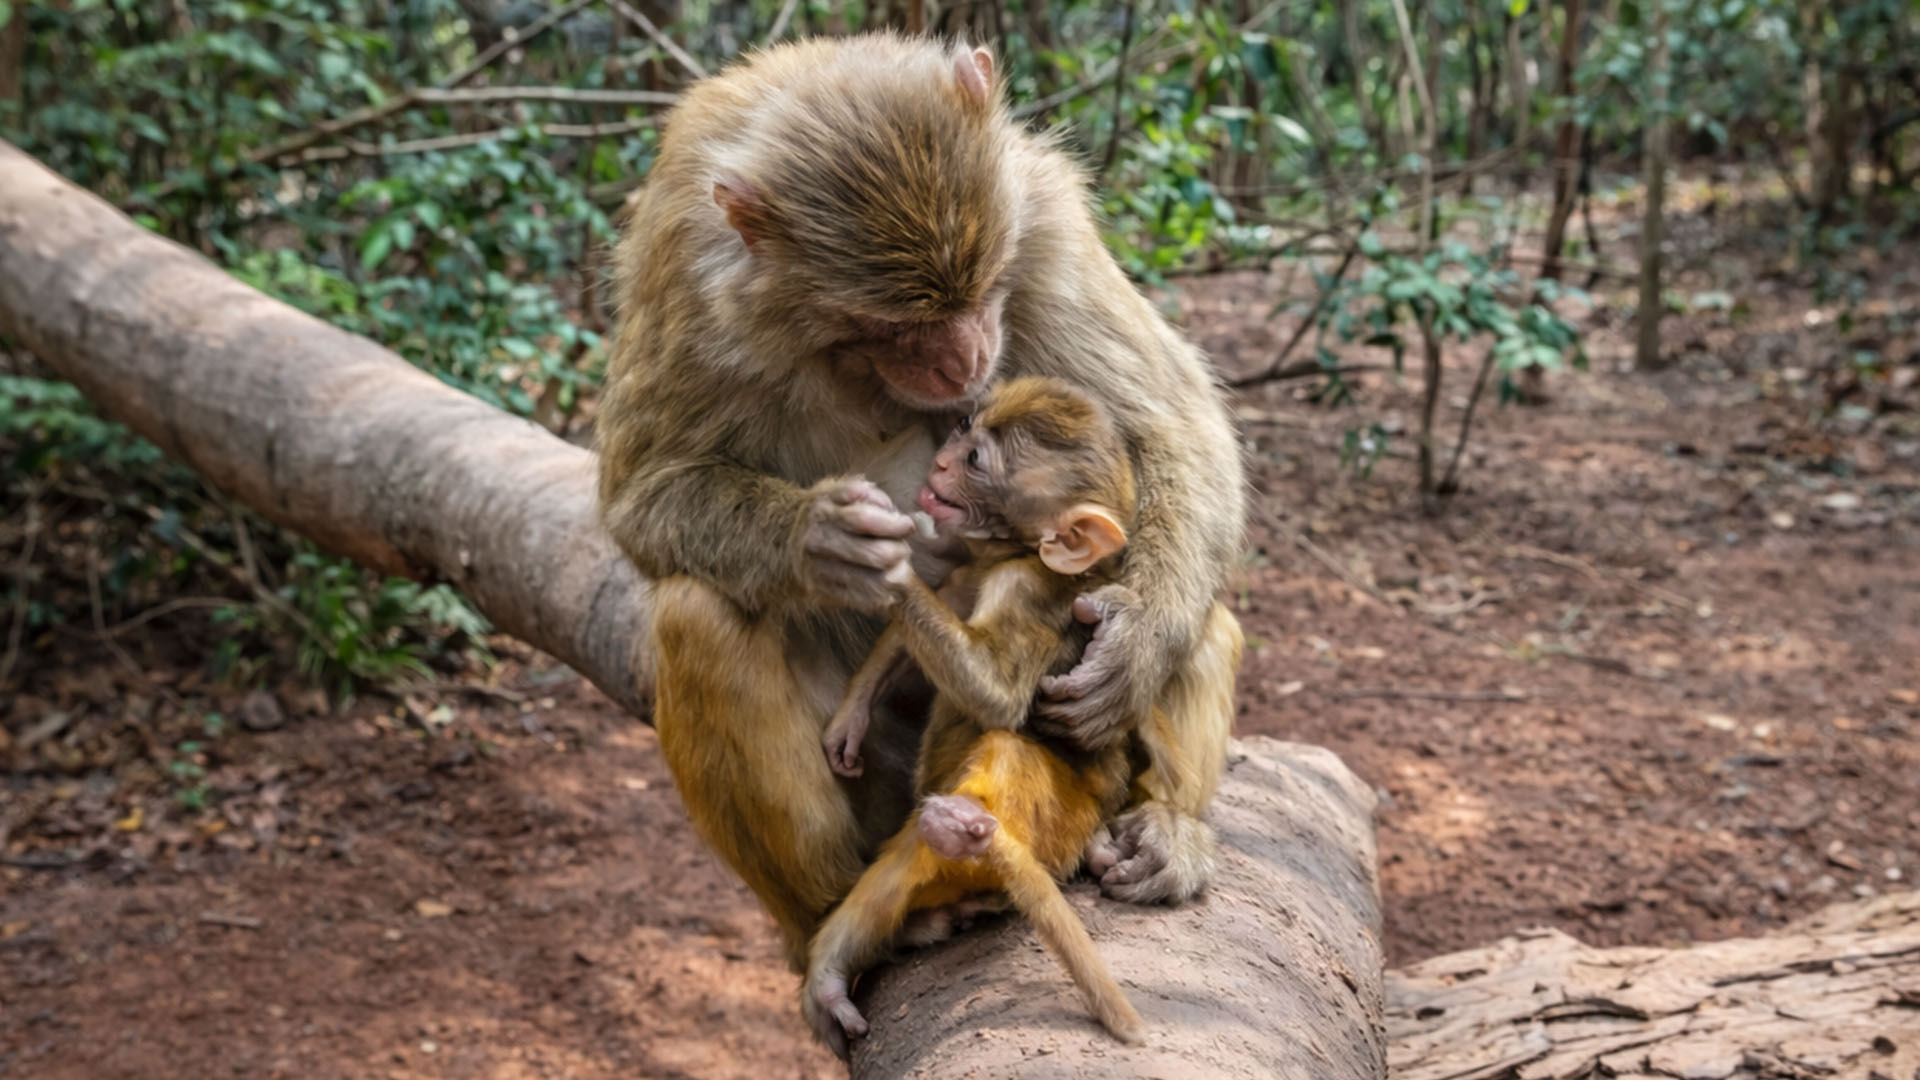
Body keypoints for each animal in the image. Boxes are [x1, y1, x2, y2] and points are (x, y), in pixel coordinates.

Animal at [596, 34, 1246, 971]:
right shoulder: (685, 275)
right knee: (698, 615)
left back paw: (1165, 828)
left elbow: (1172, 426)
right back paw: (838, 920)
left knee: (1203, 613)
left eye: (982, 290)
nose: (964, 360)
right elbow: (642, 492)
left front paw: (1133, 646)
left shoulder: (1043, 221)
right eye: (895, 328)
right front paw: (815, 540)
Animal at [803, 376, 1197, 1055]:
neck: (1017, 552)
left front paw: (883, 557)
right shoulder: (973, 570)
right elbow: (923, 630)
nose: (938, 467)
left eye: (975, 462)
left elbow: (997, 696)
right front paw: (853, 713)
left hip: (1060, 823)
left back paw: (966, 830)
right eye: (964, 428)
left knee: (1010, 750)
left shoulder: (1025, 588)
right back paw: (844, 967)